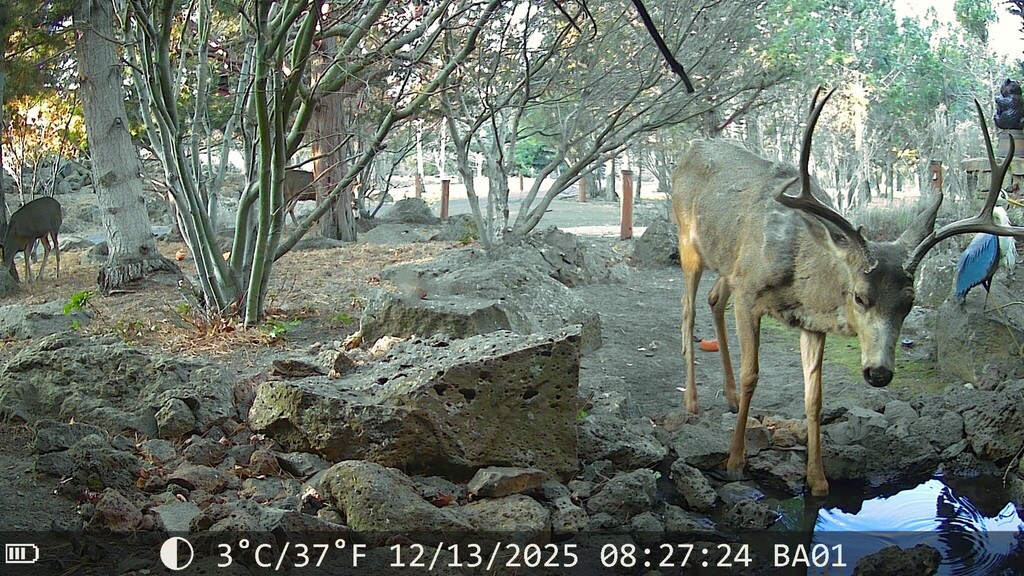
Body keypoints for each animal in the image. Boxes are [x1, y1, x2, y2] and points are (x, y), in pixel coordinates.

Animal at [672, 87, 1024, 497]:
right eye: (858, 296)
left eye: (910, 302)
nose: (879, 373)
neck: (800, 267)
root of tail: (690, 149)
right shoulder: (749, 294)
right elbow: (752, 375)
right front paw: (734, 462)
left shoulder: (809, 321)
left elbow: (815, 397)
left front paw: (818, 480)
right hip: (688, 241)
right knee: (688, 310)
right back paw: (692, 402)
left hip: (727, 264)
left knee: (714, 299)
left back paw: (726, 397)